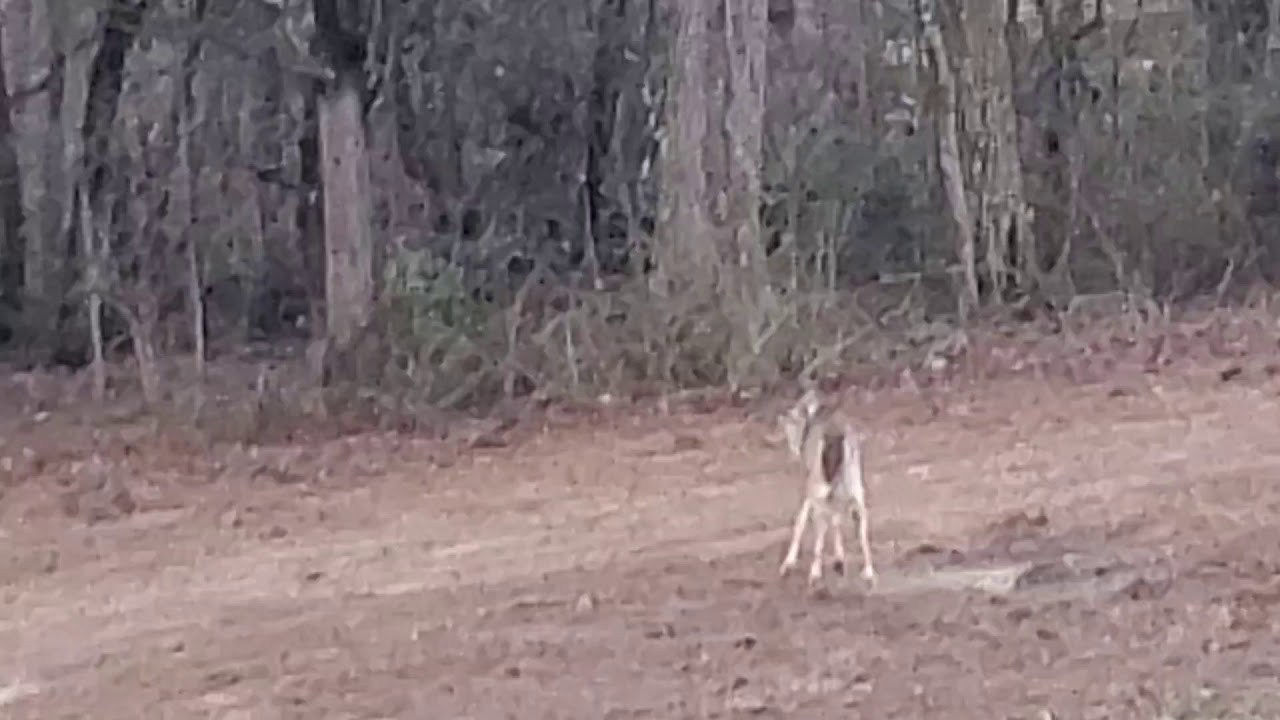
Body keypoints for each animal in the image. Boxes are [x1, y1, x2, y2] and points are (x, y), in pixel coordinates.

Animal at [777, 388, 877, 587]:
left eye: (791, 424)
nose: (794, 450)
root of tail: (836, 437)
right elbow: (837, 519)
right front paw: (839, 559)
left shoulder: (810, 488)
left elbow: (800, 520)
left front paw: (787, 564)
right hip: (854, 484)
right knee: (860, 520)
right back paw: (869, 573)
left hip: (819, 487)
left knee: (821, 525)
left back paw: (814, 574)